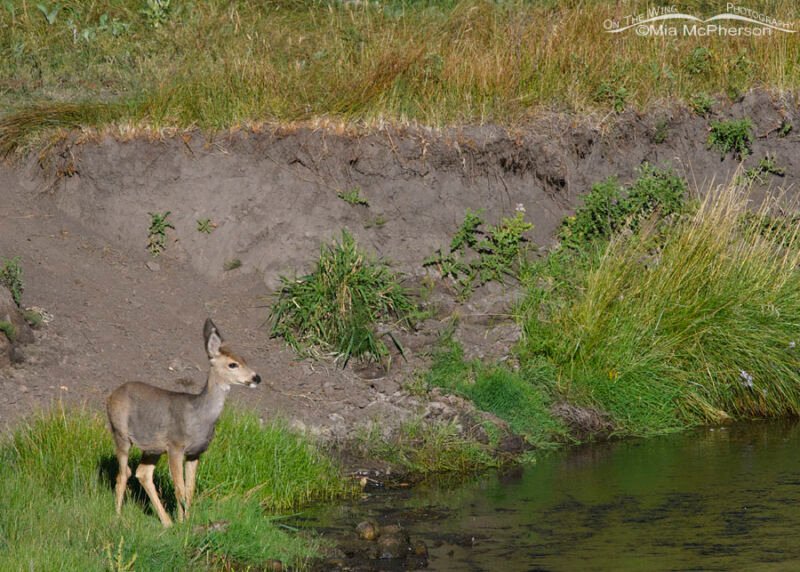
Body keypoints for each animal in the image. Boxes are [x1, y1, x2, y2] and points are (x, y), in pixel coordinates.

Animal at [106, 318, 261, 527]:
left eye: (245, 359)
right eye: (232, 364)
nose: (256, 378)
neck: (199, 416)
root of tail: (111, 395)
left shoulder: (195, 452)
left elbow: (189, 490)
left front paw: (185, 522)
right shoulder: (175, 446)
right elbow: (179, 489)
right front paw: (182, 524)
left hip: (152, 448)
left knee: (143, 473)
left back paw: (166, 522)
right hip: (120, 433)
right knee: (123, 474)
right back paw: (118, 517)